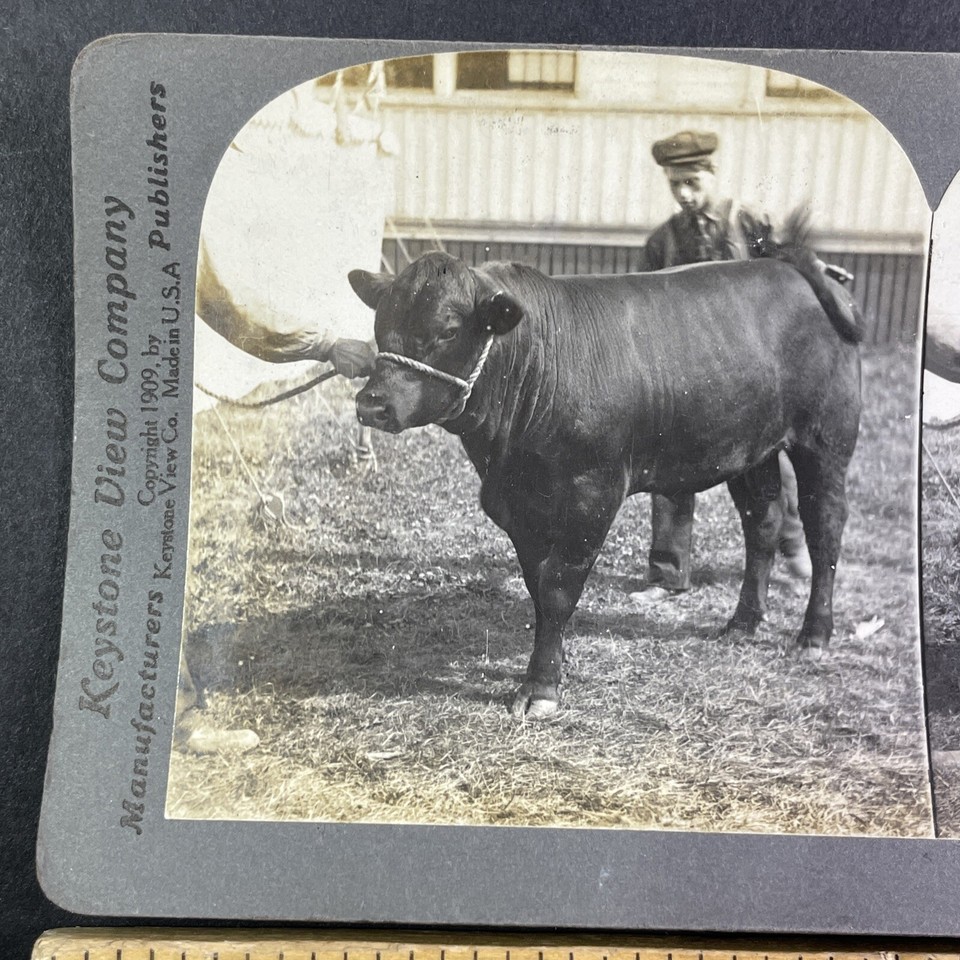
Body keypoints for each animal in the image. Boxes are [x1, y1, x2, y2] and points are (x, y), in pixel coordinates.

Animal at [348, 242, 862, 719]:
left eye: (449, 330)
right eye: (379, 324)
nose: (373, 404)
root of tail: (788, 266)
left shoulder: (592, 493)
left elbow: (558, 588)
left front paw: (540, 689)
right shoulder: (517, 505)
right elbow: (538, 587)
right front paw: (552, 665)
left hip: (825, 440)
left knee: (825, 530)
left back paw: (814, 634)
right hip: (753, 449)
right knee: (763, 524)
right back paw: (743, 623)